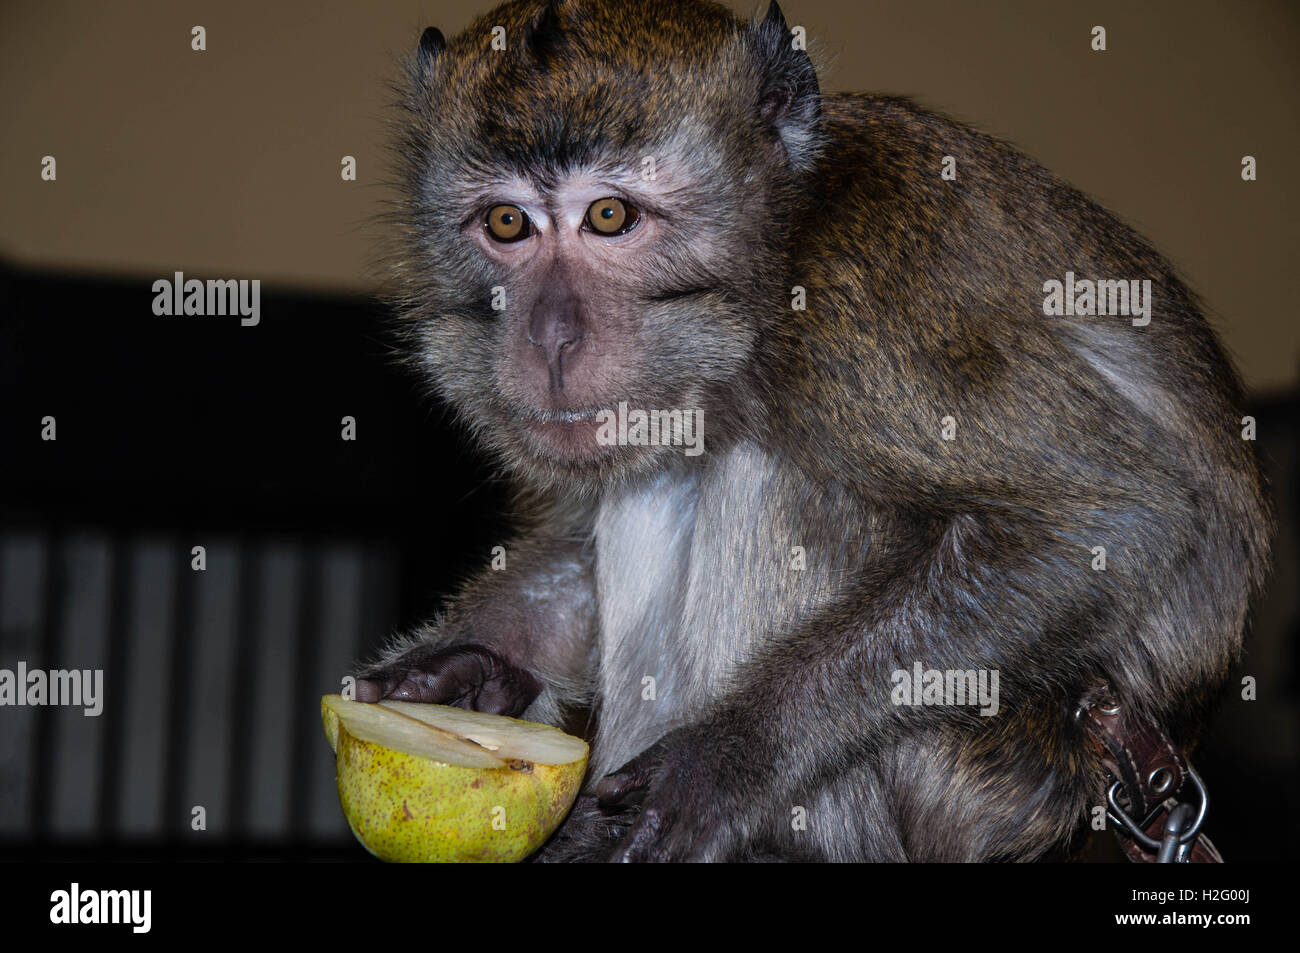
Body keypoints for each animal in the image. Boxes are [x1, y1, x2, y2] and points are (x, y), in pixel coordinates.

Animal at [355, 0, 1272, 862]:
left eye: (610, 216)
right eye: (507, 224)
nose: (549, 337)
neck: (780, 244)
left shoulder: (865, 305)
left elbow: (1105, 517)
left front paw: (722, 762)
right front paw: (471, 671)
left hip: (983, 778)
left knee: (767, 473)